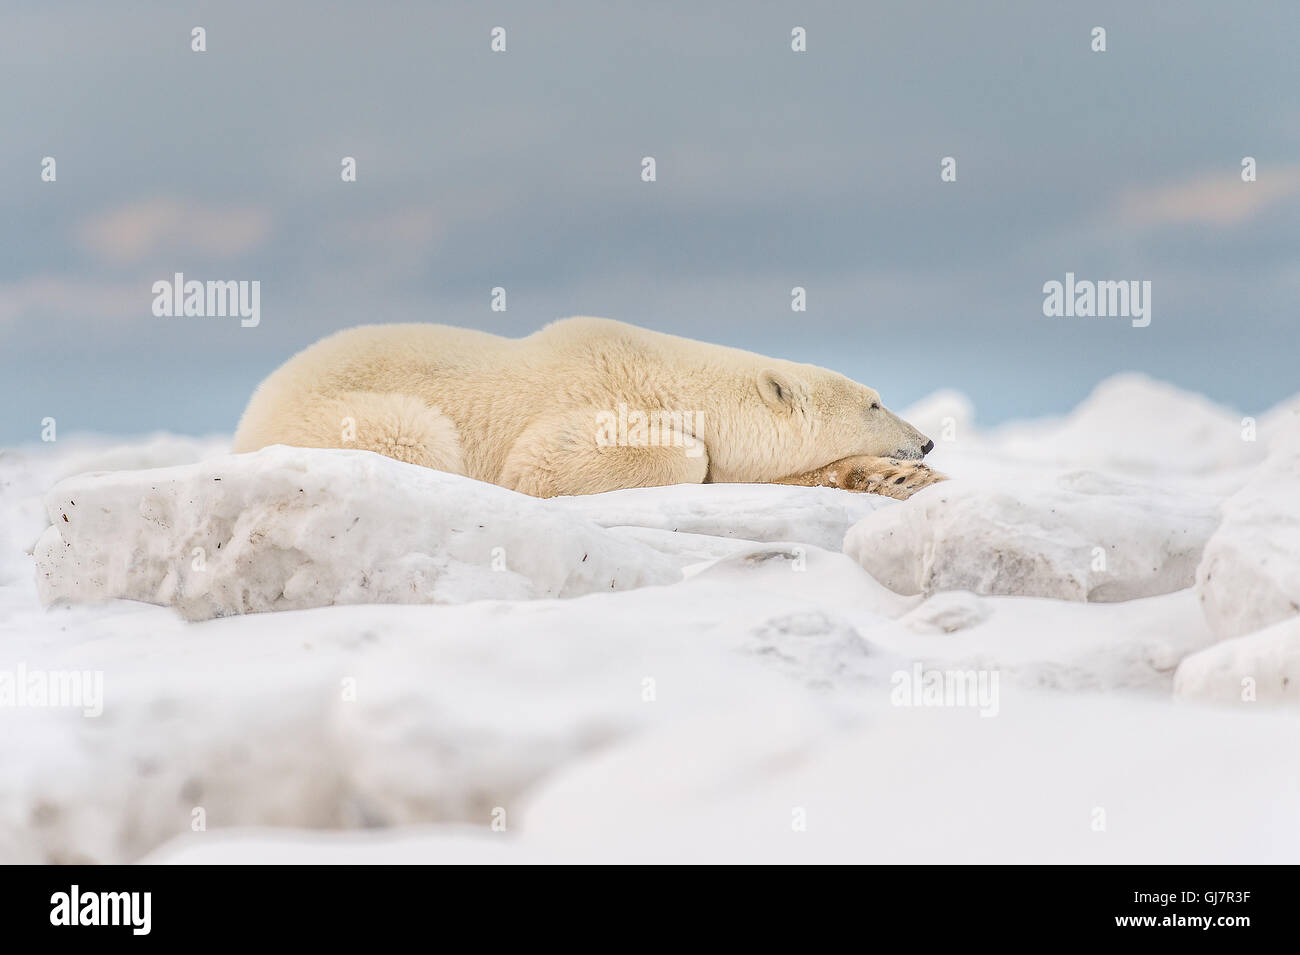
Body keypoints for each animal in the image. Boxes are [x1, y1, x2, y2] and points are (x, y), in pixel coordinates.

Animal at [232, 317, 944, 500]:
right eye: (875, 402)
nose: (928, 441)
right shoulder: (584, 399)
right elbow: (543, 463)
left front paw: (897, 477)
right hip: (345, 415)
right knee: (416, 434)